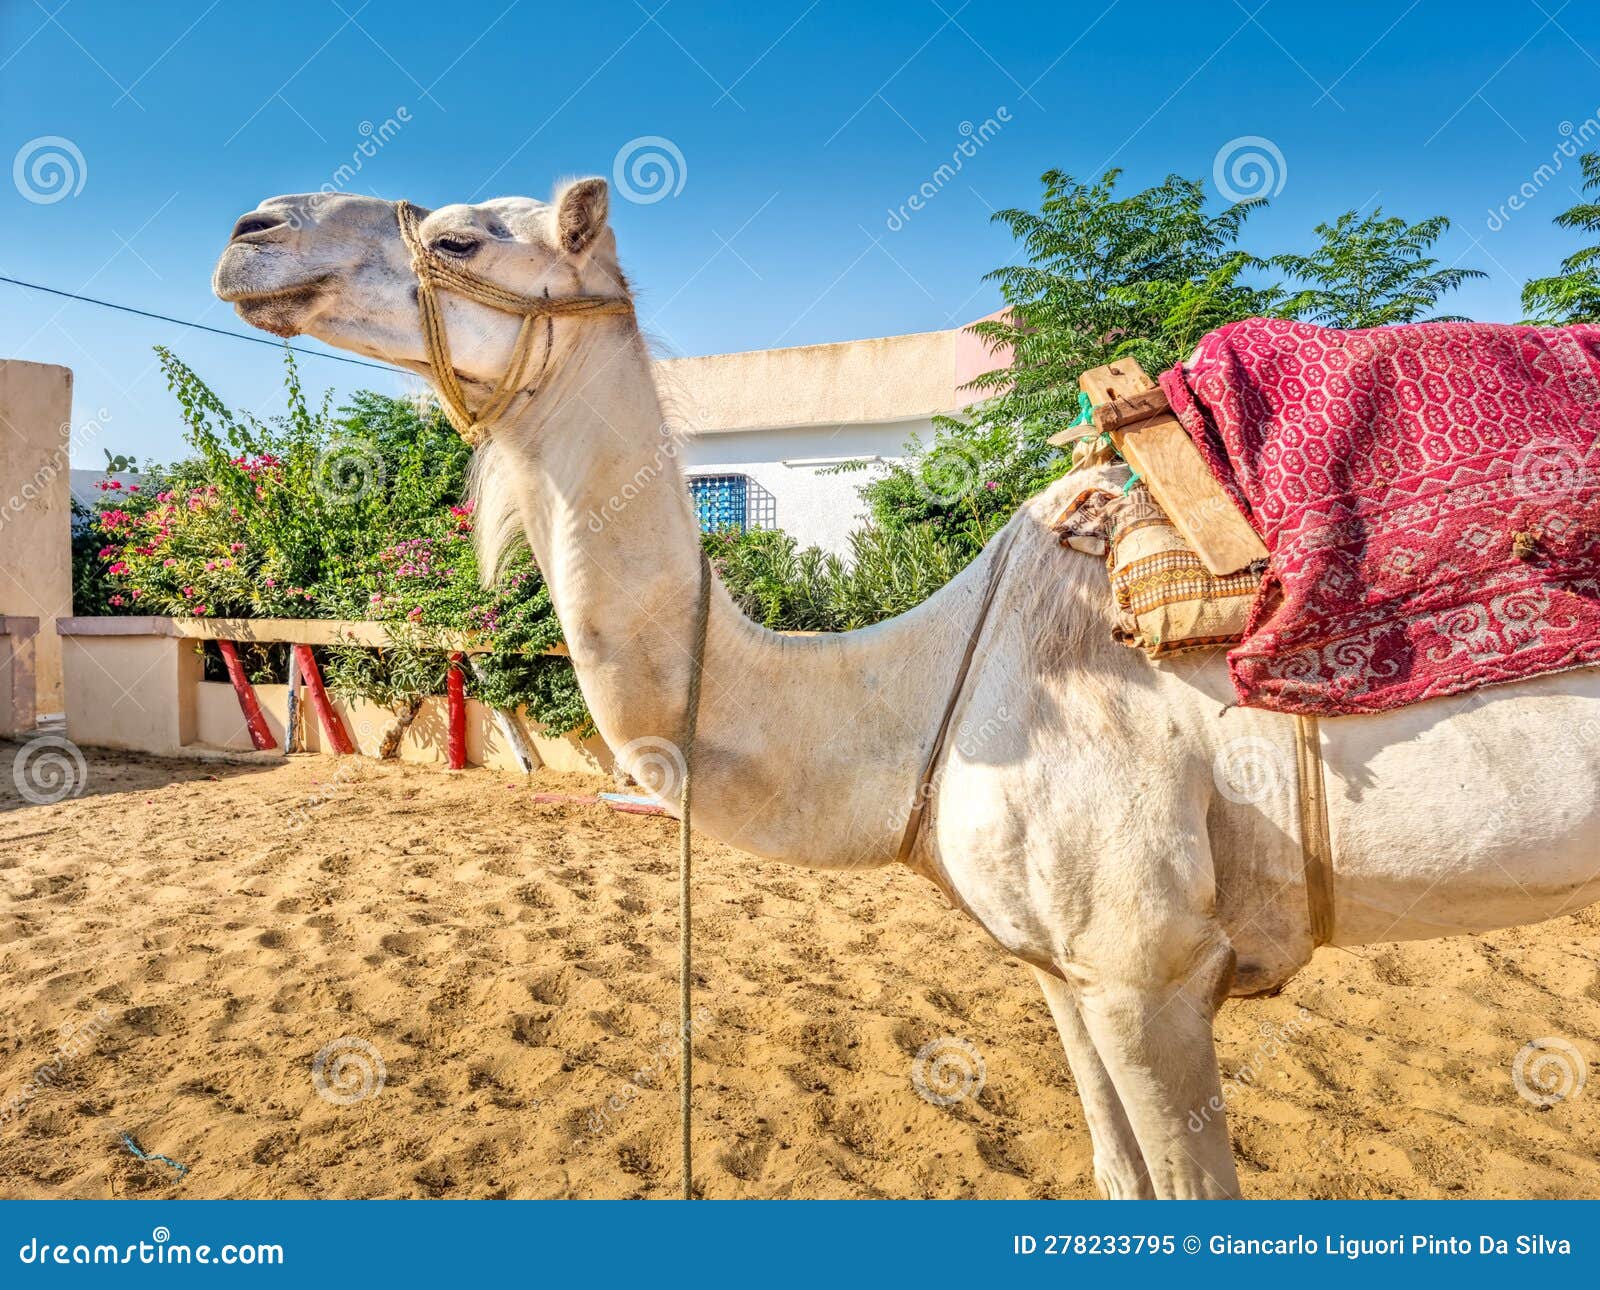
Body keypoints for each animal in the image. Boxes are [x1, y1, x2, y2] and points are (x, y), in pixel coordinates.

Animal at [213, 179, 1600, 1199]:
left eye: (457, 234)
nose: (252, 230)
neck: (920, 695)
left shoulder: (1148, 968)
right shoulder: (1068, 974)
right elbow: (1117, 1179)